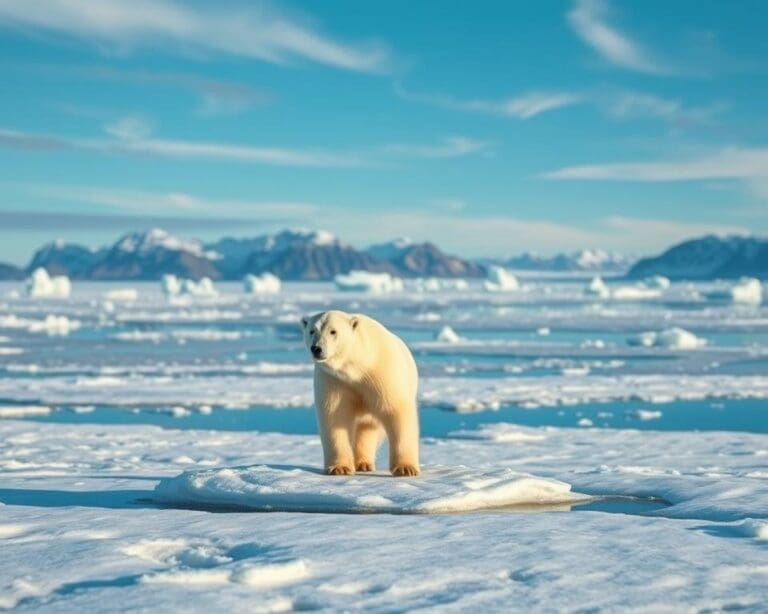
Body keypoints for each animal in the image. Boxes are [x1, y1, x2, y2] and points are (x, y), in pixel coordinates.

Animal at [301, 310, 420, 477]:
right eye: (312, 331)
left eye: (333, 331)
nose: (316, 348)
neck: (359, 367)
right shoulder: (333, 381)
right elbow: (334, 417)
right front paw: (339, 468)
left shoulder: (381, 374)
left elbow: (395, 410)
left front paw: (406, 468)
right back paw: (361, 463)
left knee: (369, 428)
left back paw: (363, 464)